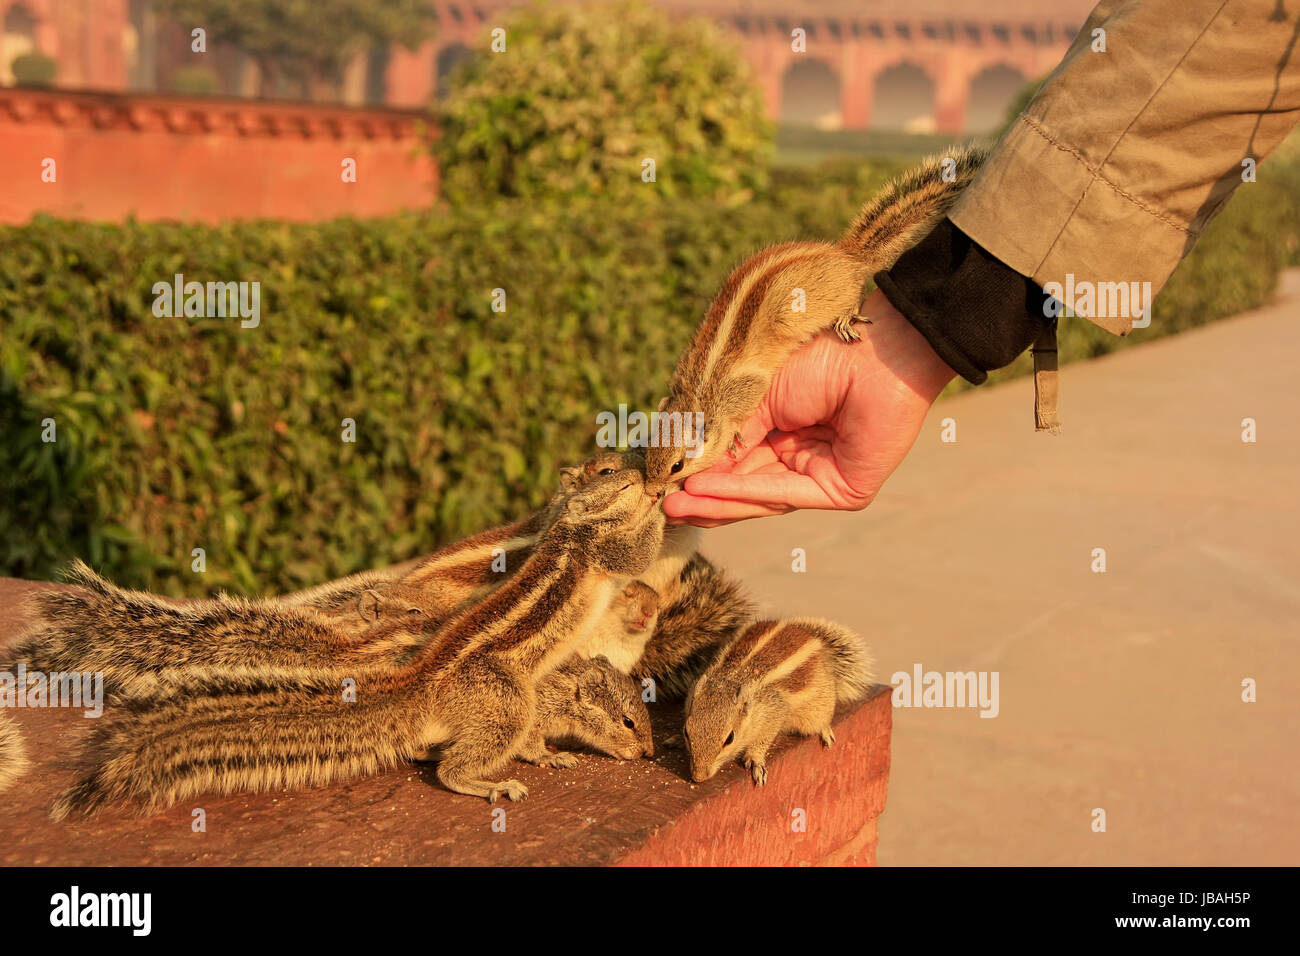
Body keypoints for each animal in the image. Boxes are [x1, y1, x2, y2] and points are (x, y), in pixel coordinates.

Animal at [51, 459, 667, 815]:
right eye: (605, 472)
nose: (647, 751)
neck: (566, 523)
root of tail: (417, 682)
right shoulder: (602, 549)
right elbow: (638, 549)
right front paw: (659, 499)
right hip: (508, 701)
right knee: (454, 769)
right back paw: (490, 785)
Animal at [643, 144, 988, 494]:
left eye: (677, 465)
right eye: (647, 457)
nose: (653, 490)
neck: (695, 395)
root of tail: (848, 258)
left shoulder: (745, 387)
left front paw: (735, 434)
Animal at [683, 617, 873, 786]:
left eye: (729, 738)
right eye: (686, 732)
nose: (698, 777)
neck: (731, 678)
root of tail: (812, 636)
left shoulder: (773, 711)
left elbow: (763, 738)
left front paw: (755, 760)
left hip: (819, 705)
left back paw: (824, 729)